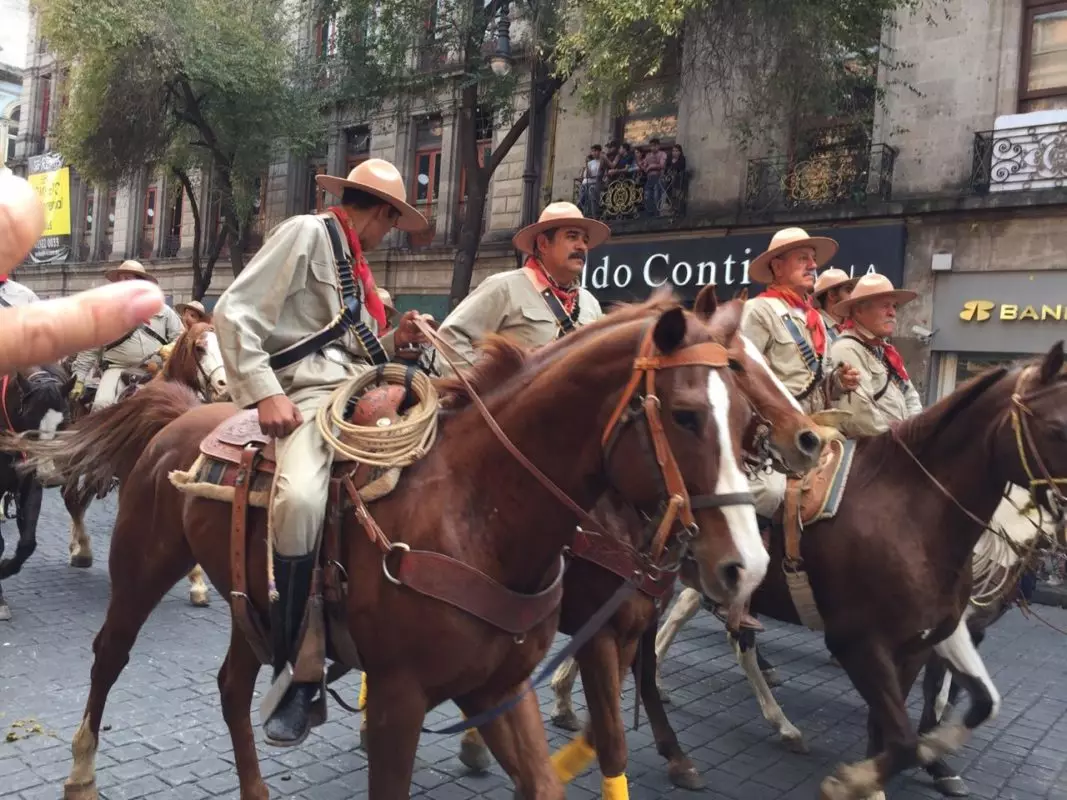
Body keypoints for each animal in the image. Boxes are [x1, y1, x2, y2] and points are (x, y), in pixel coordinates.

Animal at [0, 362, 73, 618]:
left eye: (64, 422)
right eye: (30, 421)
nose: (49, 475)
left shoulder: (30, 486)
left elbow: (27, 544)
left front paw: (4, 568)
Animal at [56, 320, 227, 605]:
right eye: (199, 347)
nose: (224, 386)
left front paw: (198, 584)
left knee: (80, 501)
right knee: (71, 500)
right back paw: (83, 550)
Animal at [653, 345, 1067, 800]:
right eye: (1058, 427)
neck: (910, 517)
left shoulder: (924, 640)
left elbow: (931, 712)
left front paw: (919, 764)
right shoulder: (859, 643)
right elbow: (904, 727)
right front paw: (866, 780)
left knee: (731, 638)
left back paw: (780, 725)